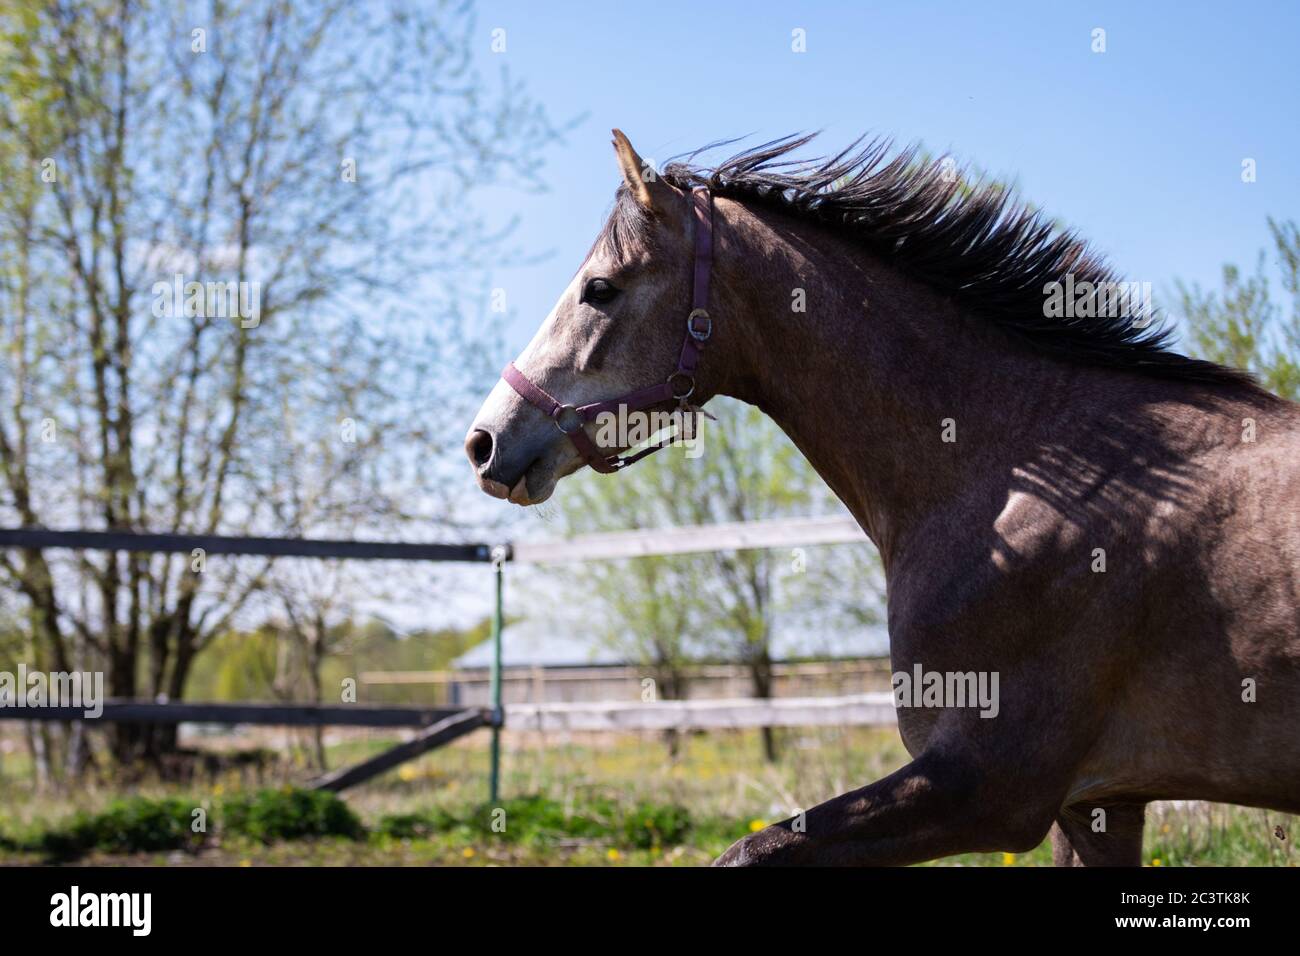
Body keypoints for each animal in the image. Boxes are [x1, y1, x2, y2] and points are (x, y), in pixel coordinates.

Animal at [465, 129, 1300, 866]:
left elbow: (752, 850)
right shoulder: (1098, 802)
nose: (486, 442)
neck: (1018, 471)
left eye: (600, 289)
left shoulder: (987, 786)